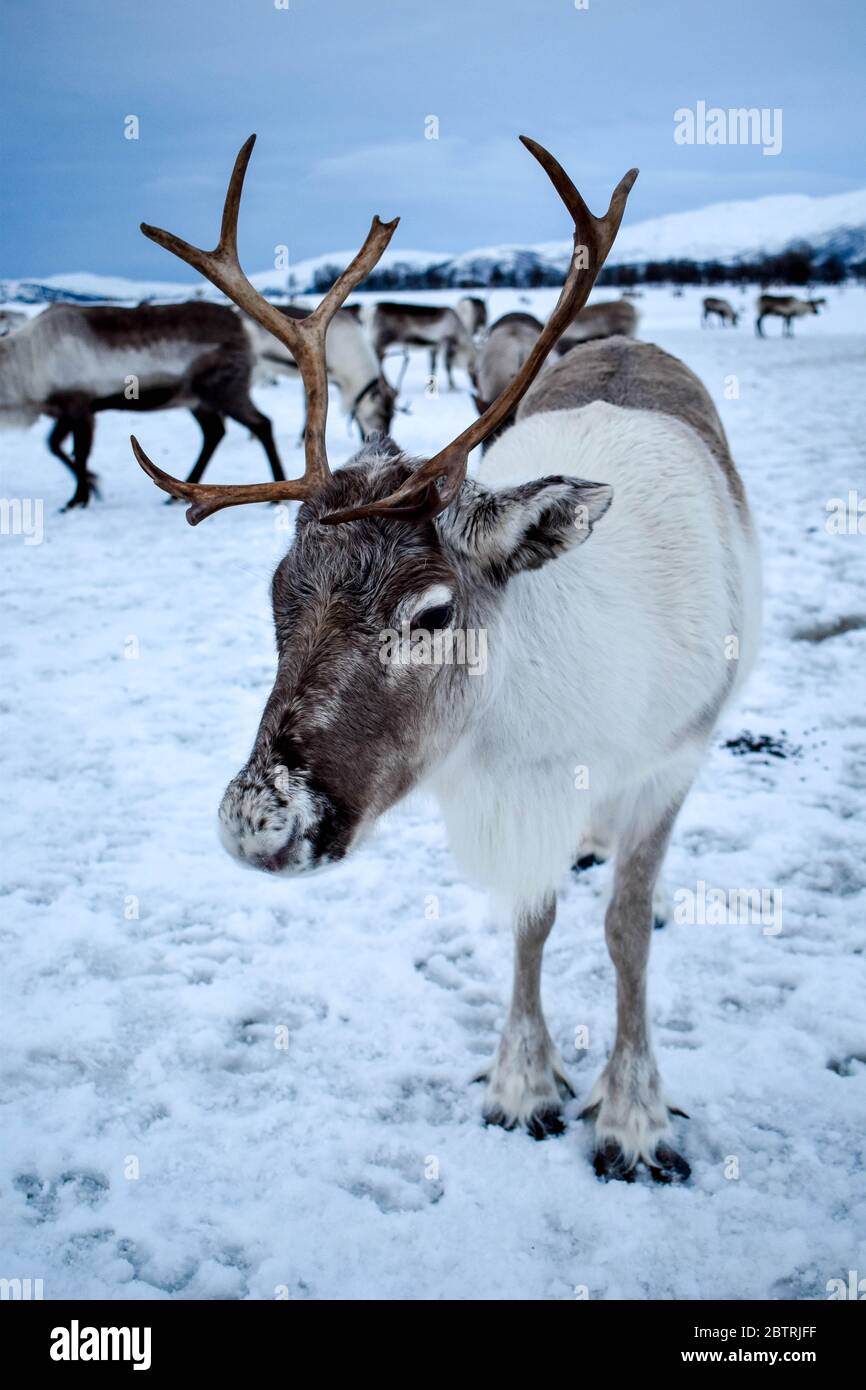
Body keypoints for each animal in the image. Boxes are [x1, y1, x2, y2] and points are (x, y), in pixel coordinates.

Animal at [0, 302, 283, 509]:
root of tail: (245, 327)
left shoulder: (80, 405)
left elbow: (77, 453)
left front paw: (81, 496)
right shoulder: (64, 411)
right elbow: (55, 446)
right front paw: (87, 488)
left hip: (226, 390)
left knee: (261, 424)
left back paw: (277, 491)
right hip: (196, 399)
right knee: (214, 432)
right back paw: (177, 493)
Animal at [130, 134, 761, 1184]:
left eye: (431, 612)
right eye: (275, 592)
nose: (258, 821)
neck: (552, 725)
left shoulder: (672, 760)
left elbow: (626, 931)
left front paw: (633, 1115)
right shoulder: (516, 793)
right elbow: (532, 918)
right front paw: (521, 1083)